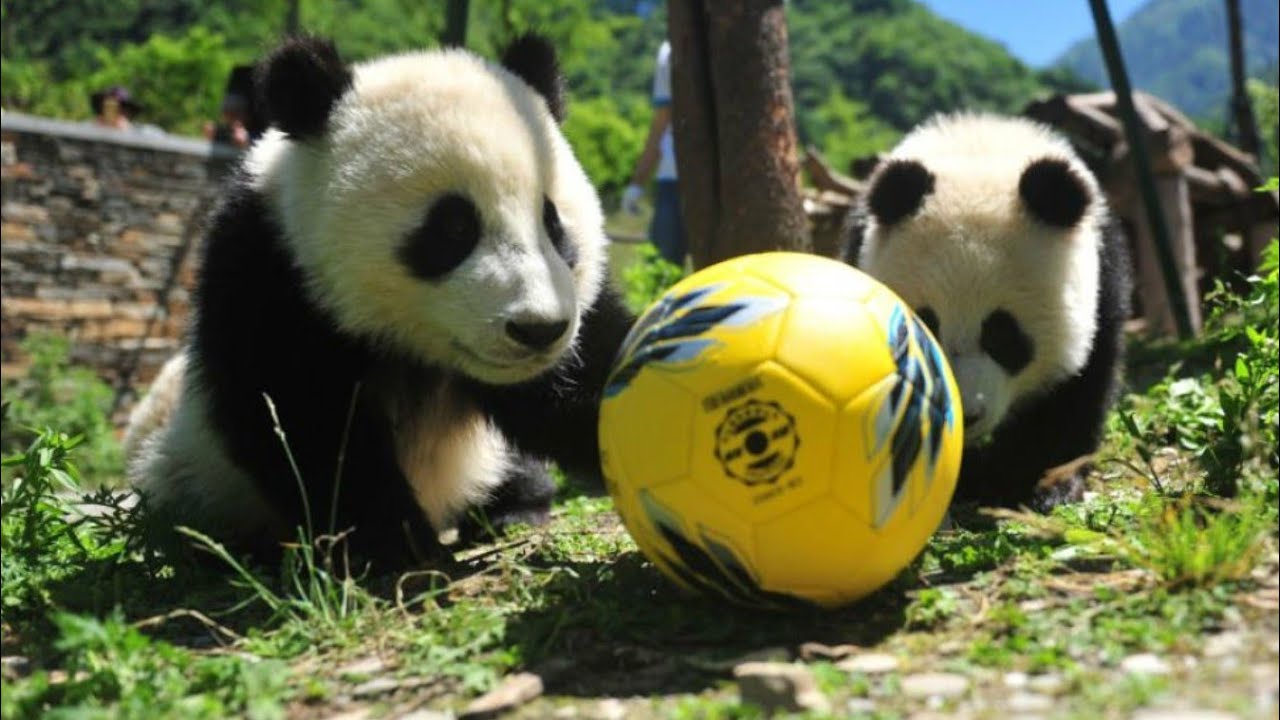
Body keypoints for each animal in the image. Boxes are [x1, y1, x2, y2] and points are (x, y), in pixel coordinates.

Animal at [127, 34, 634, 564]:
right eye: (454, 228)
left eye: (553, 224)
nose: (538, 329)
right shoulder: (270, 274)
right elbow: (304, 422)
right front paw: (394, 543)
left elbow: (585, 378)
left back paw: (509, 509)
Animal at [843, 113, 1132, 511]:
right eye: (925, 325)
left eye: (1002, 335)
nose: (965, 414)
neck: (980, 149)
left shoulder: (1102, 280)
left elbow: (1076, 390)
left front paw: (1044, 483)